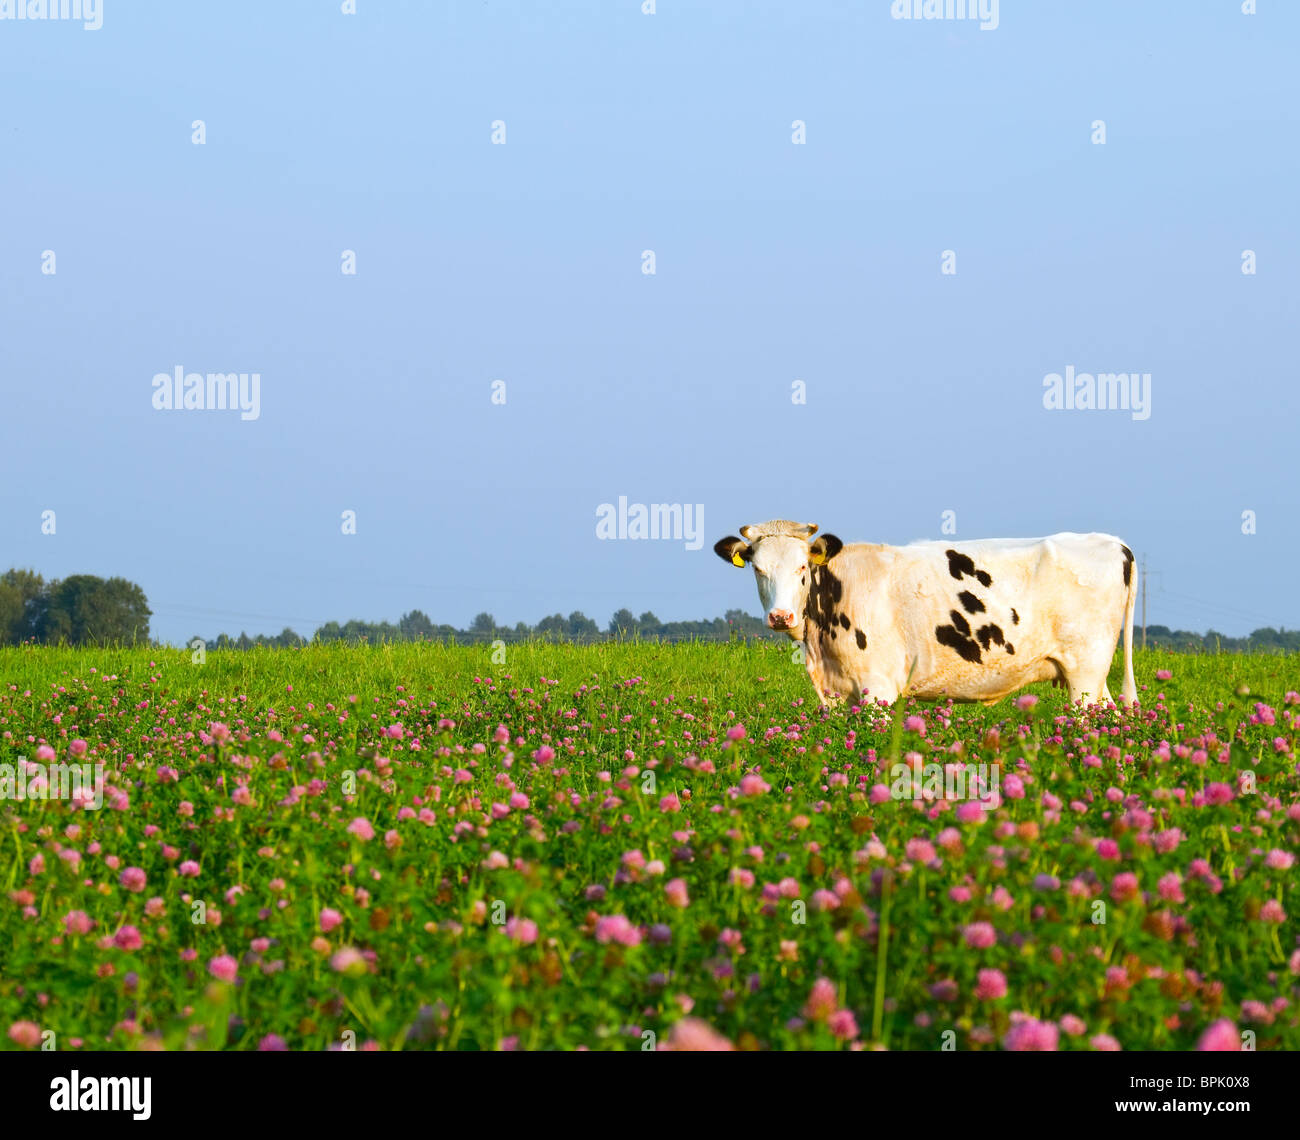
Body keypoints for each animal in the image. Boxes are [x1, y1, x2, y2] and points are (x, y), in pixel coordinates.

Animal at [714, 520, 1137, 708]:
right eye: (758, 568)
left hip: (1085, 673)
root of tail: (1113, 542)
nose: (781, 616)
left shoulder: (878, 688)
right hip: (1091, 676)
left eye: (802, 567)